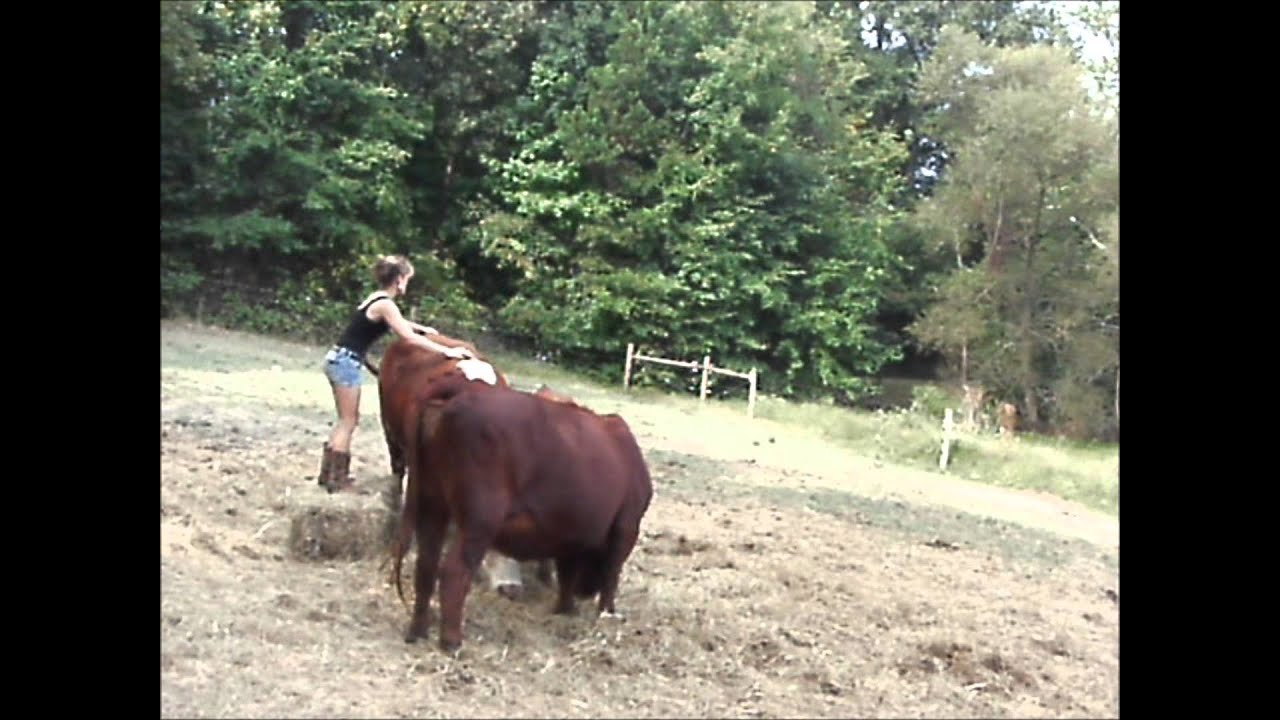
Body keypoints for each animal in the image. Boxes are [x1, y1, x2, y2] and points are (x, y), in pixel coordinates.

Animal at [391, 375, 653, 652]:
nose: (586, 592)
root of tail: (462, 389)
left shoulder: (570, 534)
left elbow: (567, 574)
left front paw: (565, 610)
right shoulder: (627, 524)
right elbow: (612, 572)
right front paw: (607, 613)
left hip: (432, 504)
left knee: (426, 565)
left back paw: (418, 631)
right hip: (479, 520)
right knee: (454, 572)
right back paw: (452, 642)